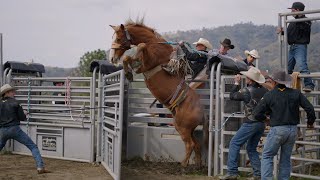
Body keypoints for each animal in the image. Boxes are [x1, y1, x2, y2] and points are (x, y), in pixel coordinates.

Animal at [109, 20, 206, 167]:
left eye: (119, 38)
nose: (112, 58)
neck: (155, 44)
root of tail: (202, 112)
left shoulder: (147, 63)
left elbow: (139, 48)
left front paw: (129, 71)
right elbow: (128, 57)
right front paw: (128, 72)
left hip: (182, 127)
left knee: (189, 145)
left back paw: (183, 165)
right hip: (189, 129)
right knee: (197, 144)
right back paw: (198, 165)